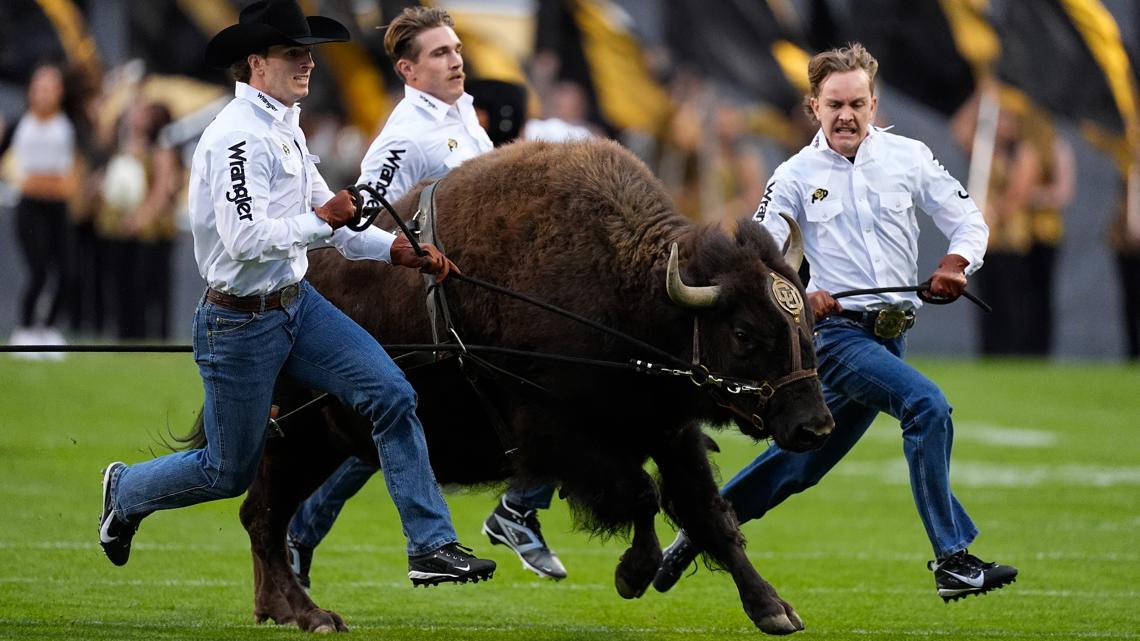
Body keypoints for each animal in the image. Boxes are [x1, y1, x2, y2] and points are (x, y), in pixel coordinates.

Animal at [199, 138, 834, 634]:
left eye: (805, 320)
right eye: (745, 333)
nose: (815, 426)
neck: (635, 291)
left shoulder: (670, 432)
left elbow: (709, 514)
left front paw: (774, 609)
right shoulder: (561, 436)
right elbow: (641, 496)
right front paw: (633, 575)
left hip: (317, 442)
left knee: (262, 513)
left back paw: (282, 610)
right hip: (295, 436)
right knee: (263, 515)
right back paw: (309, 614)